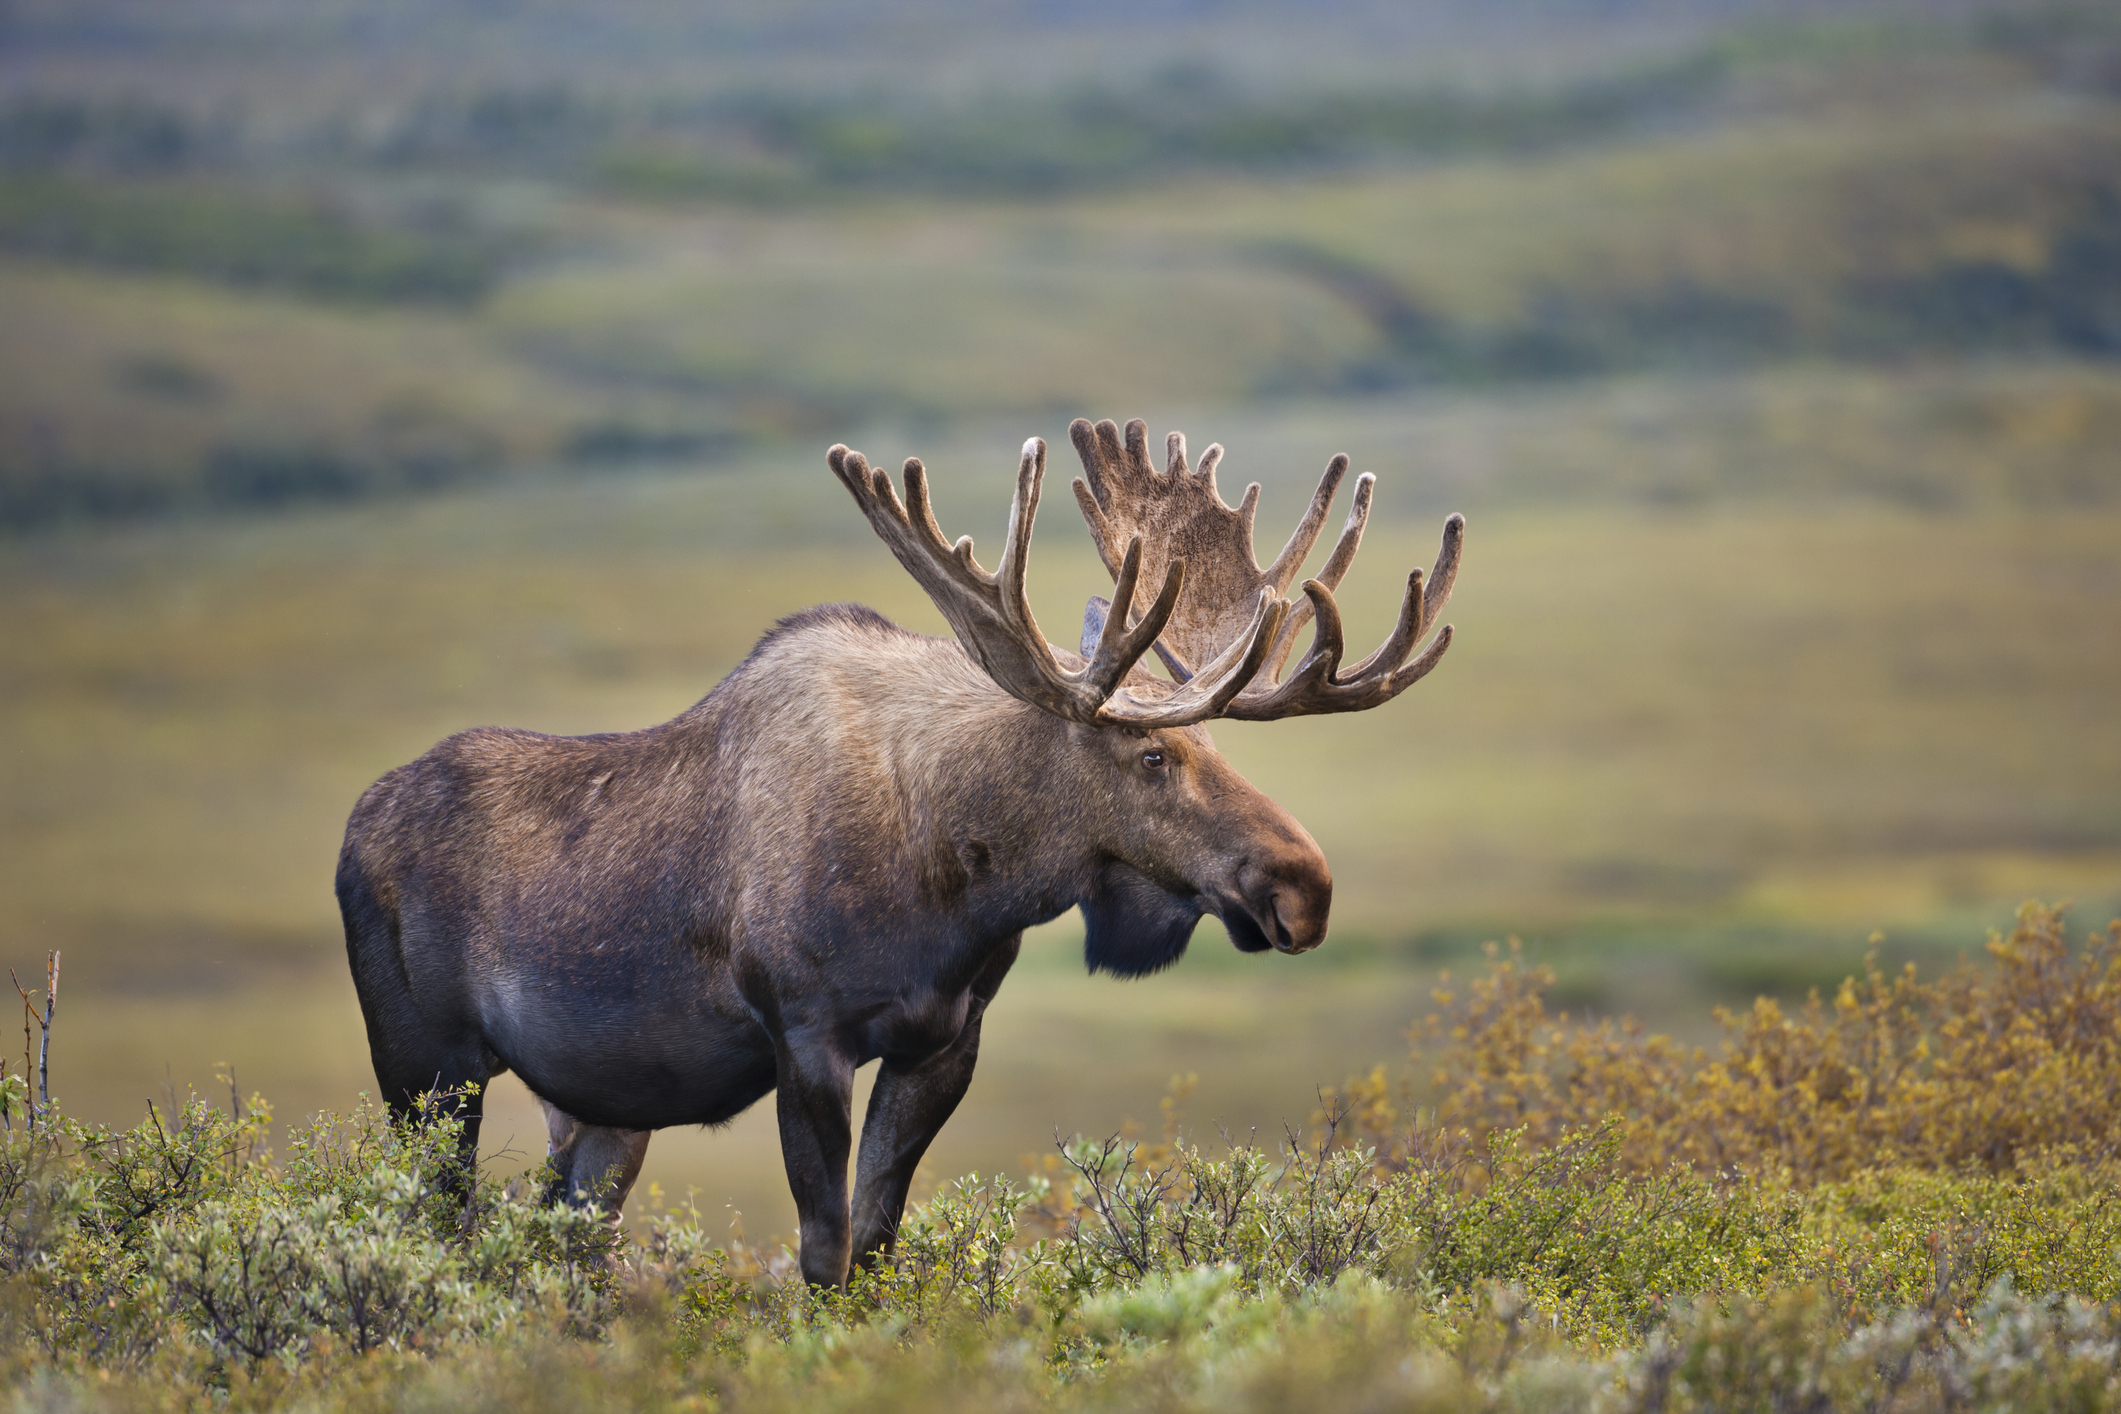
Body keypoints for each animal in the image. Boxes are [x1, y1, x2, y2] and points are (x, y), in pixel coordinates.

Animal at [336, 417, 1463, 1288]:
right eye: (1152, 753)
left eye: (1218, 746)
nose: (1304, 886)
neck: (953, 875)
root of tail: (353, 828)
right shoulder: (805, 1034)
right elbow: (823, 1249)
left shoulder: (944, 1038)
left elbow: (877, 1241)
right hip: (425, 1068)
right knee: (431, 1224)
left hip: (599, 1110)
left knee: (559, 1238)